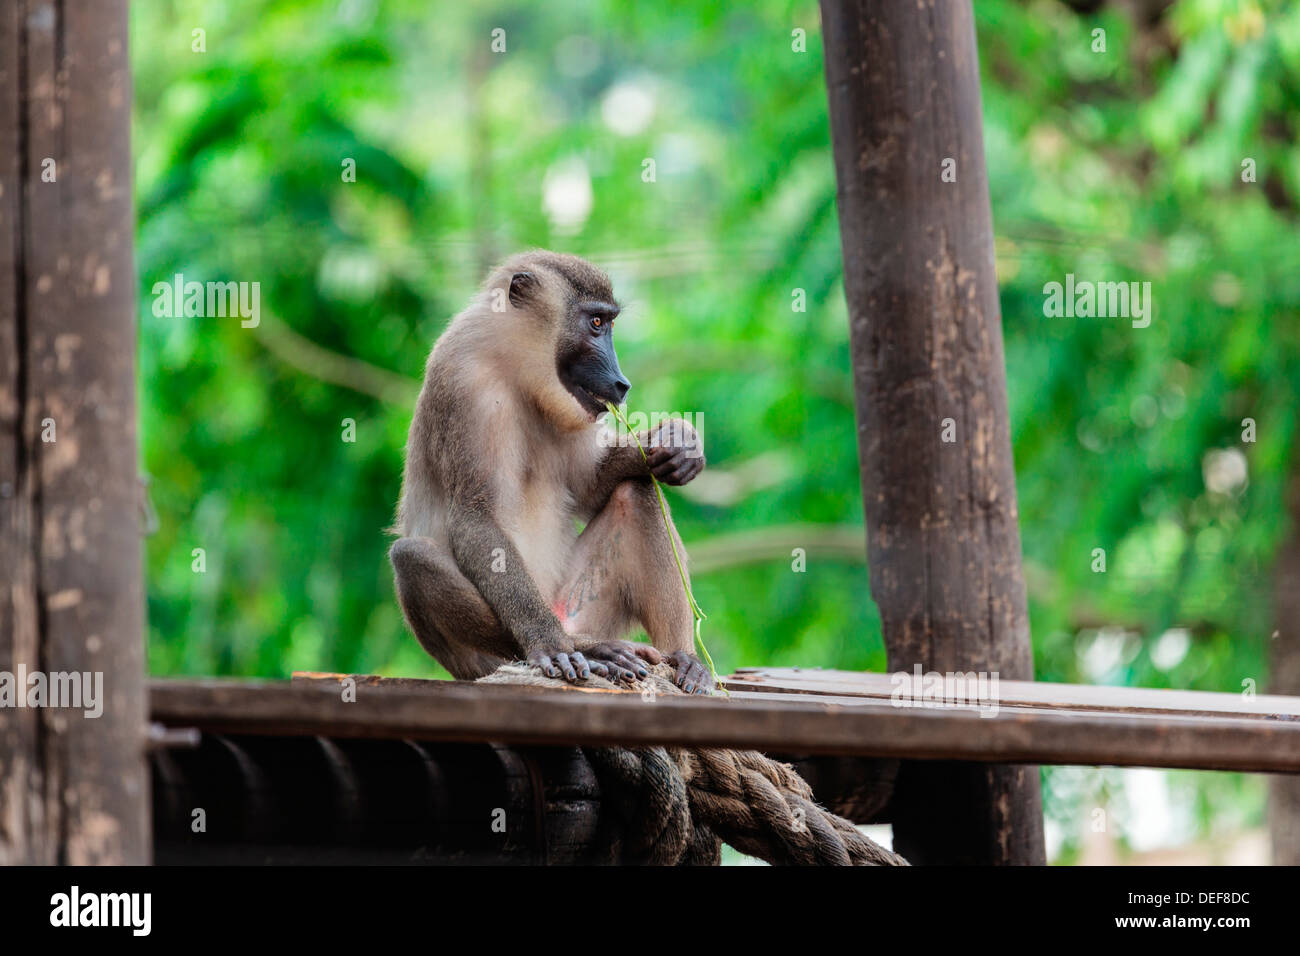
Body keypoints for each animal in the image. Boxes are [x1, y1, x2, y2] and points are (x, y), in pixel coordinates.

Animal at [389, 250, 713, 693]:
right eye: (596, 323)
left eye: (608, 323)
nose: (621, 383)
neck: (515, 371)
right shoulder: (464, 383)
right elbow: (475, 518)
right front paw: (551, 643)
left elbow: (590, 486)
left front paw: (677, 440)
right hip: (490, 655)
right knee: (412, 556)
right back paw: (590, 648)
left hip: (579, 603)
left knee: (637, 493)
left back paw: (685, 659)